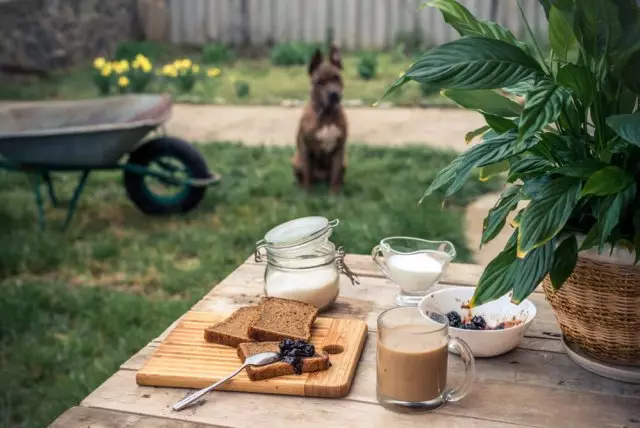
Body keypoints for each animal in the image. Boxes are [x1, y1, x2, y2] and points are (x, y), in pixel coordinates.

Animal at [292, 44, 348, 194]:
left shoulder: (339, 149)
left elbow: (335, 173)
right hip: (295, 160)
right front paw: (307, 193)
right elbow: (307, 171)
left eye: (337, 77)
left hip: (345, 161)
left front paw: (334, 193)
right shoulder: (305, 148)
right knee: (304, 175)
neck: (327, 115)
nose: (333, 94)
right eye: (320, 82)